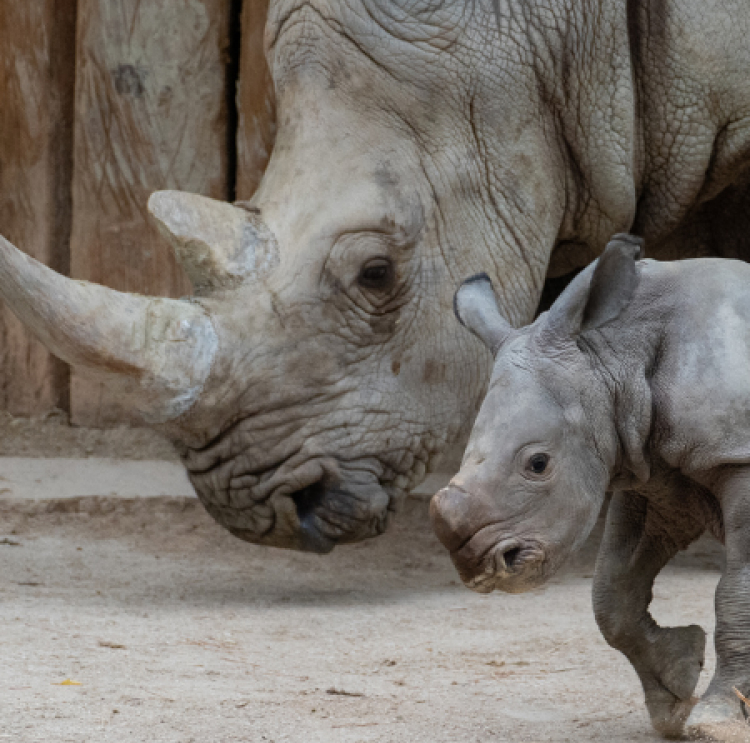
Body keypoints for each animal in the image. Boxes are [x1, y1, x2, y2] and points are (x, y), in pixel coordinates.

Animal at [431, 234, 750, 741]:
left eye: (538, 464)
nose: (478, 566)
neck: (615, 353)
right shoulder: (650, 469)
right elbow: (611, 593)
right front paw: (675, 697)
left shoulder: (736, 453)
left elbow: (736, 591)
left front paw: (718, 720)